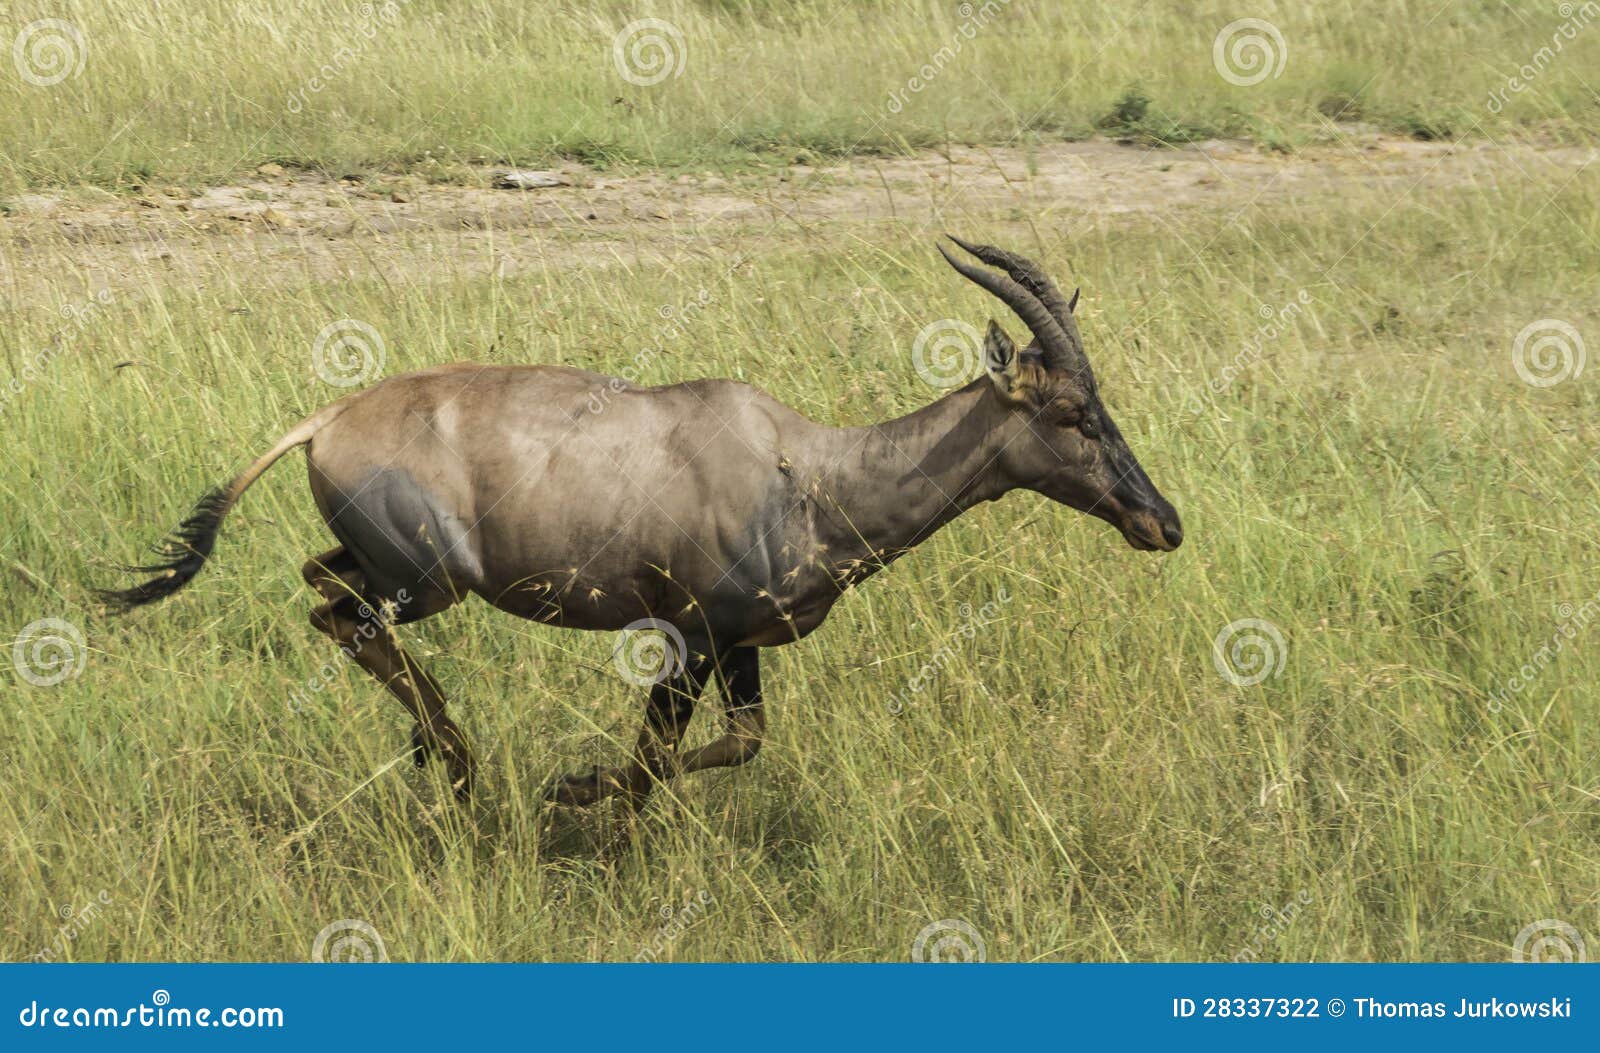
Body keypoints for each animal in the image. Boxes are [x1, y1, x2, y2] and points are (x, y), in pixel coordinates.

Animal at [101, 237, 1182, 809]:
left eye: (1100, 403)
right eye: (1069, 412)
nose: (1160, 522)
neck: (804, 467)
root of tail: (325, 419)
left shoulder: (740, 645)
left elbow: (739, 744)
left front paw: (577, 788)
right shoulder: (689, 633)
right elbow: (655, 757)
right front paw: (573, 790)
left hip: (395, 572)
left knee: (322, 589)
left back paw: (442, 754)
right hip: (428, 583)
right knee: (336, 609)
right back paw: (456, 756)